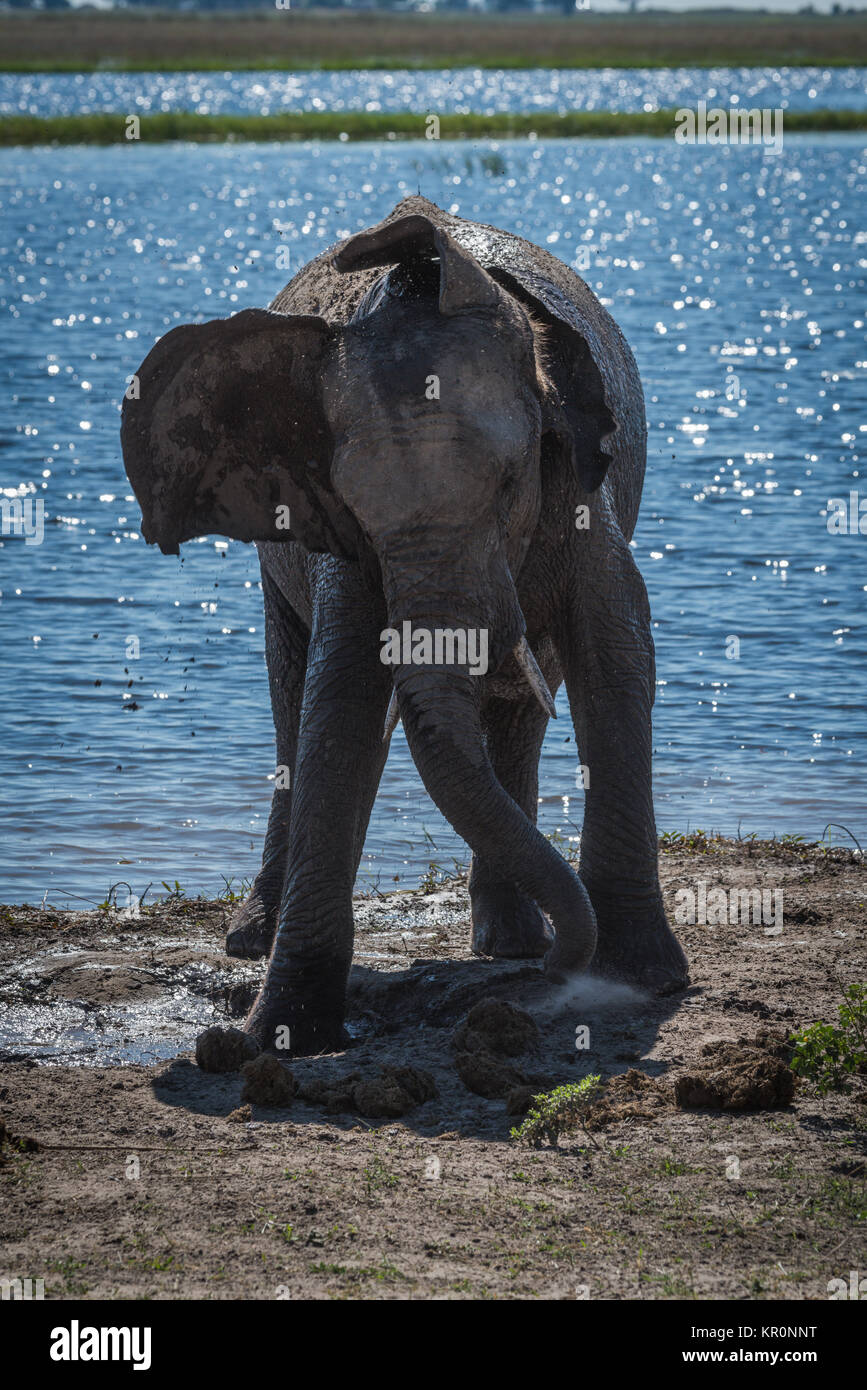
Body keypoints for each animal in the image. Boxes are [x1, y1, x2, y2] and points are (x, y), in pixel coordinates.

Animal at [121, 194, 688, 1056]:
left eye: (510, 482)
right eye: (352, 504)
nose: (564, 965)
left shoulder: (583, 497)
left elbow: (615, 655)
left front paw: (640, 982)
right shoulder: (338, 538)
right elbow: (340, 700)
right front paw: (281, 1035)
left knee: (525, 706)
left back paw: (511, 944)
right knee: (291, 700)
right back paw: (255, 940)